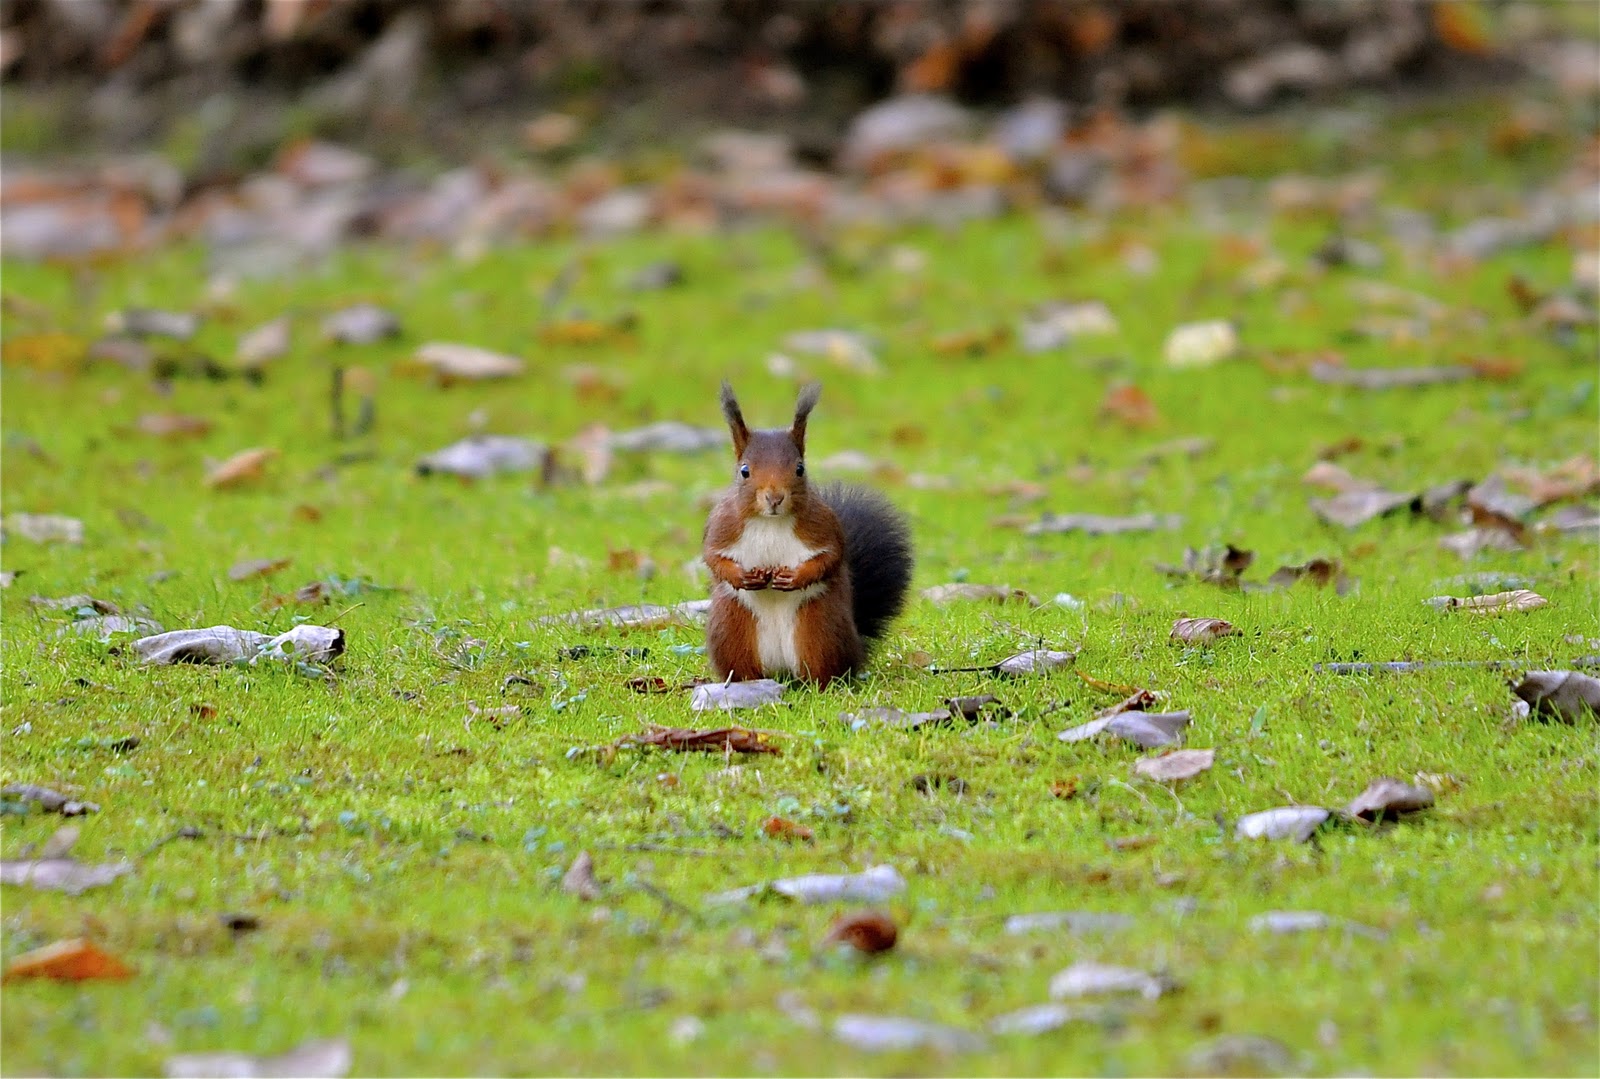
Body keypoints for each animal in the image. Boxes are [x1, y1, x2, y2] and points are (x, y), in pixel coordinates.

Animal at [703, 382, 913, 688]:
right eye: (744, 471)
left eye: (800, 468)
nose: (774, 498)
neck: (771, 522)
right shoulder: (722, 527)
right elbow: (712, 557)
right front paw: (742, 576)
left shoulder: (824, 527)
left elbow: (830, 557)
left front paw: (795, 577)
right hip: (732, 629)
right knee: (744, 666)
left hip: (818, 630)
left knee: (822, 668)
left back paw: (821, 686)